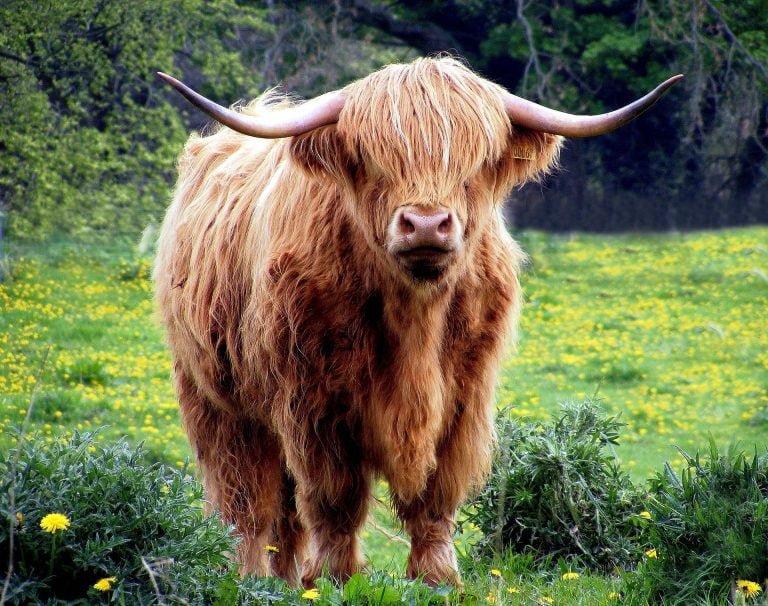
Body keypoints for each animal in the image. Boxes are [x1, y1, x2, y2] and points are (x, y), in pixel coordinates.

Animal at [154, 56, 680, 587]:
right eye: (372, 159)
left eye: (474, 163)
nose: (426, 224)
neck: (415, 322)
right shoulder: (313, 403)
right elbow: (334, 496)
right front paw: (334, 578)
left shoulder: (463, 399)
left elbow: (435, 495)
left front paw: (438, 577)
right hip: (215, 400)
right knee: (244, 500)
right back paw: (247, 577)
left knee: (282, 512)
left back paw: (282, 578)